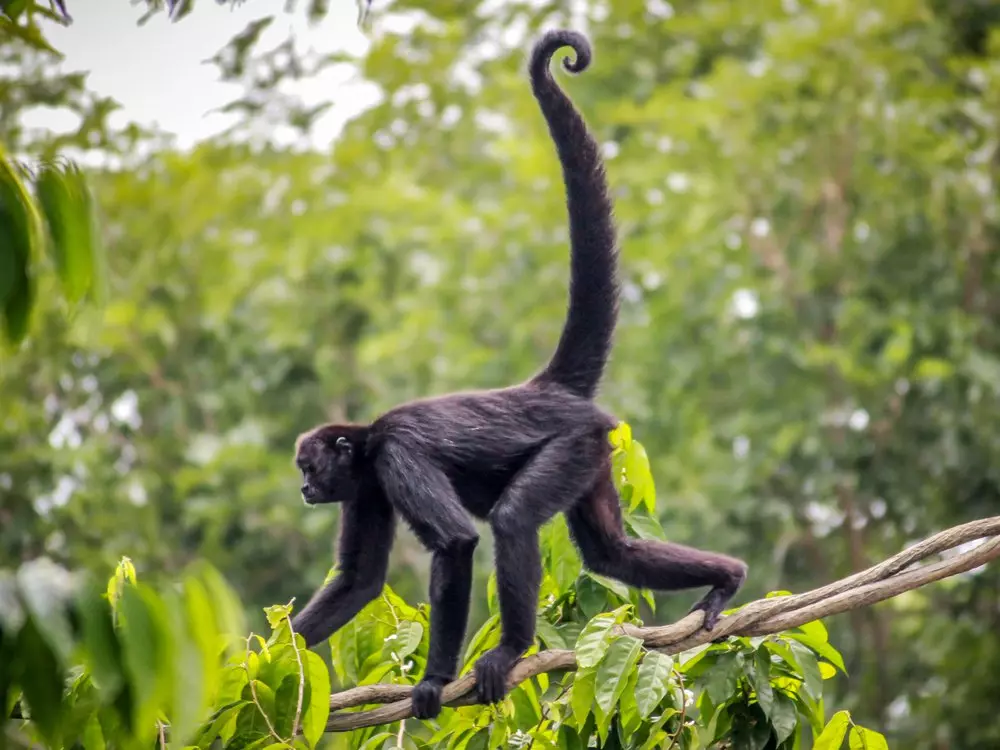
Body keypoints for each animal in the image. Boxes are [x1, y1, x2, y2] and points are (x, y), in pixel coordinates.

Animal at [290, 27, 752, 724]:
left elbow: (456, 542)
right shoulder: (368, 485)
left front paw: (434, 680)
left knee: (512, 520)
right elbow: (360, 581)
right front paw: (257, 655)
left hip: (571, 445)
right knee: (612, 552)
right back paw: (727, 576)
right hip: (594, 454)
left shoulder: (395, 457)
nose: (304, 489)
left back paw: (511, 650)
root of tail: (545, 390)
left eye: (309, 466)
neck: (367, 444)